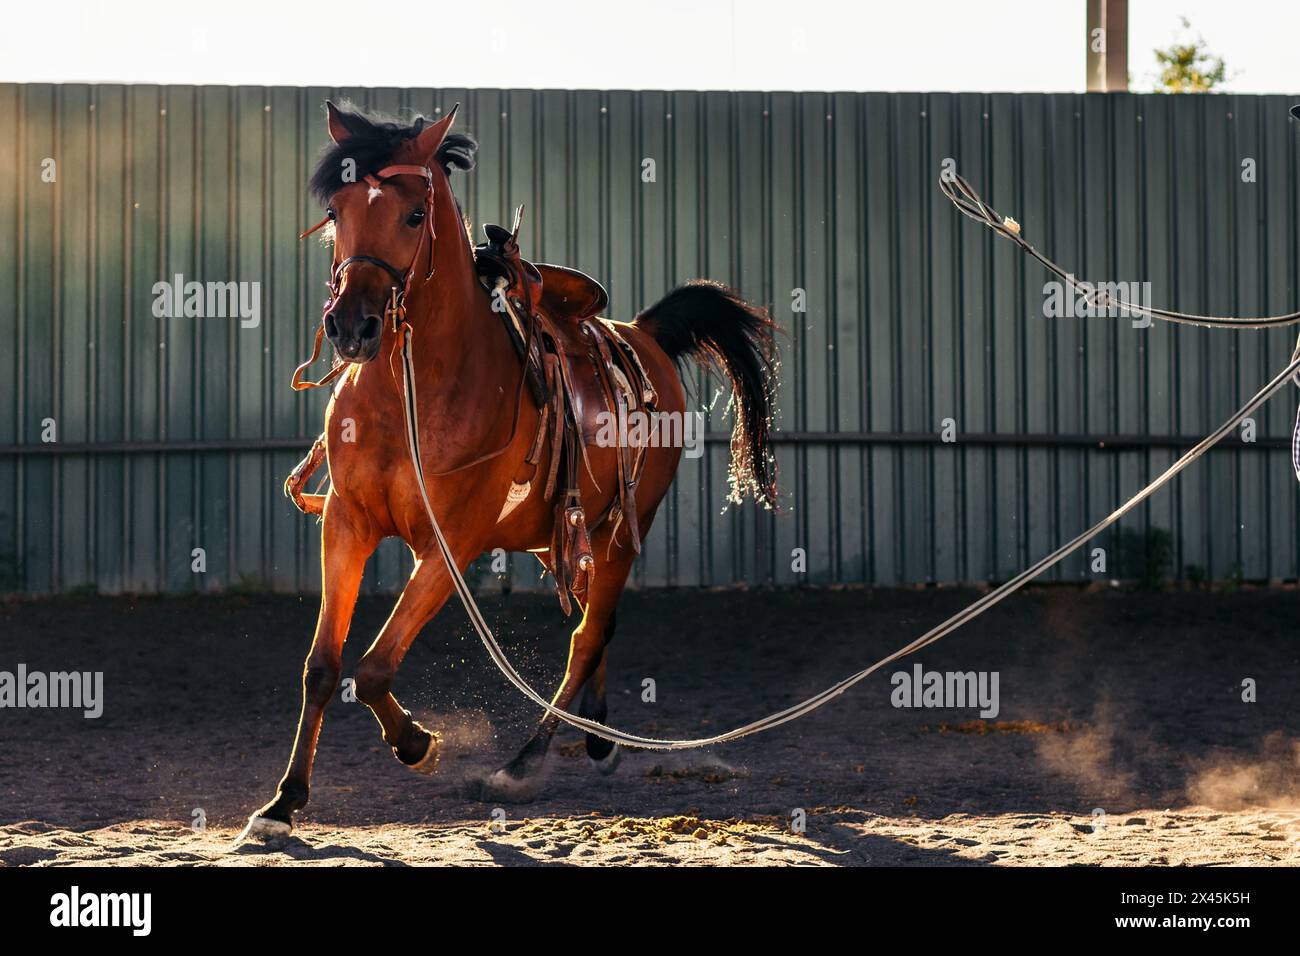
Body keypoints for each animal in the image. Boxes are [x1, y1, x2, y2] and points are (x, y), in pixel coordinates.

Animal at [245, 102, 779, 837]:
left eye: (414, 214)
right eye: (336, 211)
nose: (352, 326)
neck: (415, 389)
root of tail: (643, 335)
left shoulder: (453, 543)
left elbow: (376, 667)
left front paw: (418, 744)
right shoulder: (346, 525)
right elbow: (323, 666)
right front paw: (284, 801)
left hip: (623, 528)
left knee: (588, 634)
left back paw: (523, 762)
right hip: (568, 537)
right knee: (595, 624)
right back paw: (598, 737)